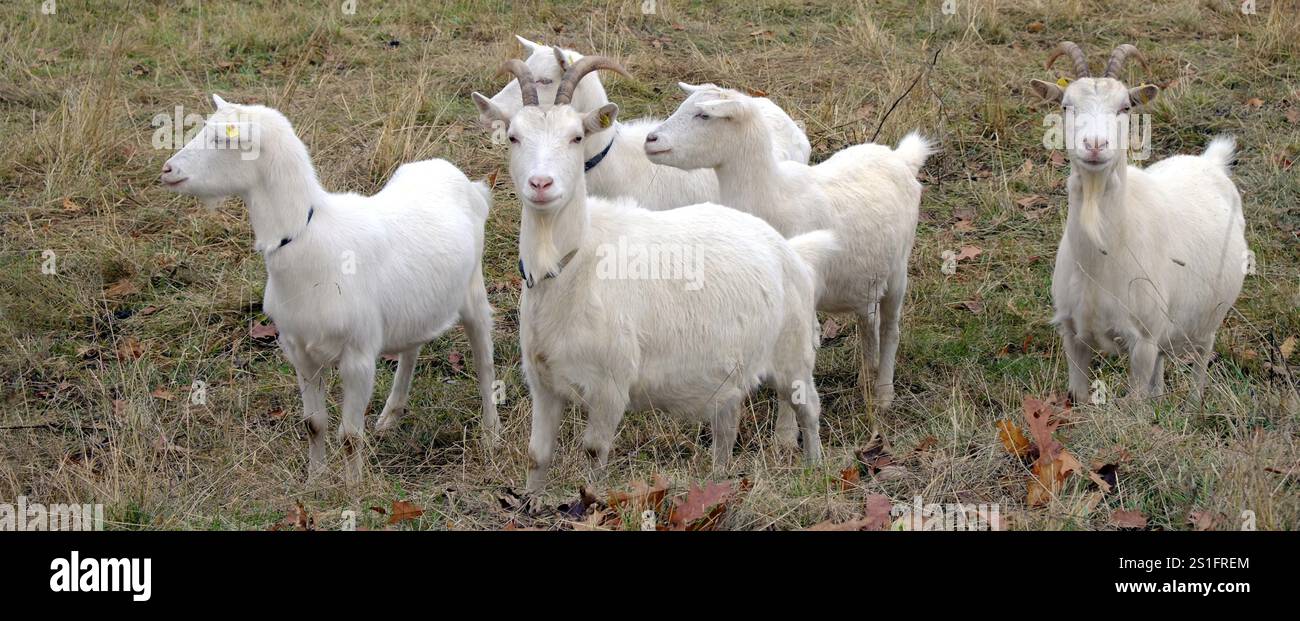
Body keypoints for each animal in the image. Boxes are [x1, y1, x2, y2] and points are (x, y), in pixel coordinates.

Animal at [160, 95, 499, 482]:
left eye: (223, 139)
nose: (167, 169)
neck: (310, 234)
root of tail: (467, 182)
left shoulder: (359, 355)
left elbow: (350, 436)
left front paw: (352, 488)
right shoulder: (299, 349)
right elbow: (314, 424)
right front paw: (314, 481)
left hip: (474, 293)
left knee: (485, 362)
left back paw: (490, 434)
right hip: (415, 306)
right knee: (412, 348)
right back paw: (390, 415)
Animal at [473, 58, 833, 493]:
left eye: (576, 137)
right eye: (513, 137)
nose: (541, 184)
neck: (574, 265)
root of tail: (789, 251)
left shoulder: (610, 387)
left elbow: (594, 452)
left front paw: (588, 500)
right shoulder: (543, 383)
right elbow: (536, 455)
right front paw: (530, 501)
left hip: (792, 354)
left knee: (808, 407)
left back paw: (814, 467)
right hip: (729, 374)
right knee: (727, 429)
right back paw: (718, 479)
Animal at [1027, 42, 1247, 403]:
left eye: (1125, 107)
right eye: (1066, 105)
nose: (1095, 145)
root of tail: (1209, 161)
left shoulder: (1142, 341)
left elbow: (1137, 401)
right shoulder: (1073, 335)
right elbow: (1080, 397)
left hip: (1210, 316)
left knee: (1202, 358)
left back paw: (1194, 404)